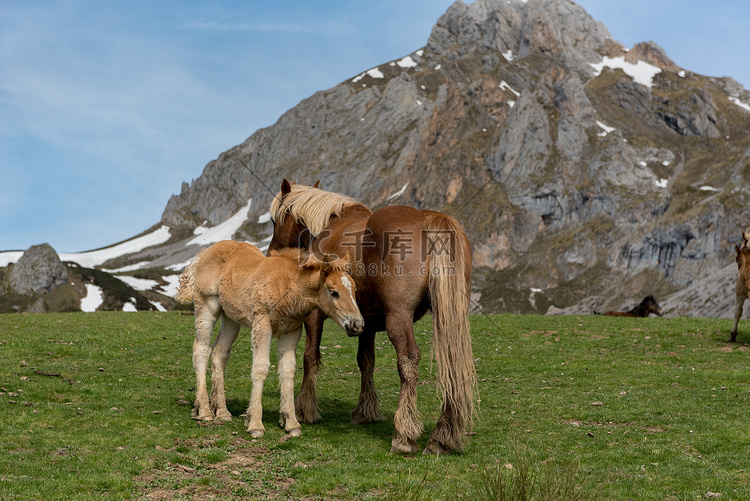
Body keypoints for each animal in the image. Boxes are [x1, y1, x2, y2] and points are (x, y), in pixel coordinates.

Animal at [175, 240, 363, 438]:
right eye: (333, 292)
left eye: (354, 289)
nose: (357, 325)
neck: (288, 284)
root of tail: (205, 253)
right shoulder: (262, 323)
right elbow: (260, 367)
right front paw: (255, 424)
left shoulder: (292, 331)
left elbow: (288, 370)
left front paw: (291, 423)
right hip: (207, 306)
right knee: (201, 350)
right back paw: (204, 410)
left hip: (231, 317)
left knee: (219, 352)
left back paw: (222, 411)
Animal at [268, 180, 476, 455]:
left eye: (274, 220)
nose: (271, 254)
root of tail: (430, 219)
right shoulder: (364, 322)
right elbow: (366, 360)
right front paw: (365, 411)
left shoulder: (314, 315)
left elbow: (310, 357)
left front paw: (305, 410)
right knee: (451, 362)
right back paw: (441, 437)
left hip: (399, 317)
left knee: (409, 360)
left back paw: (403, 435)